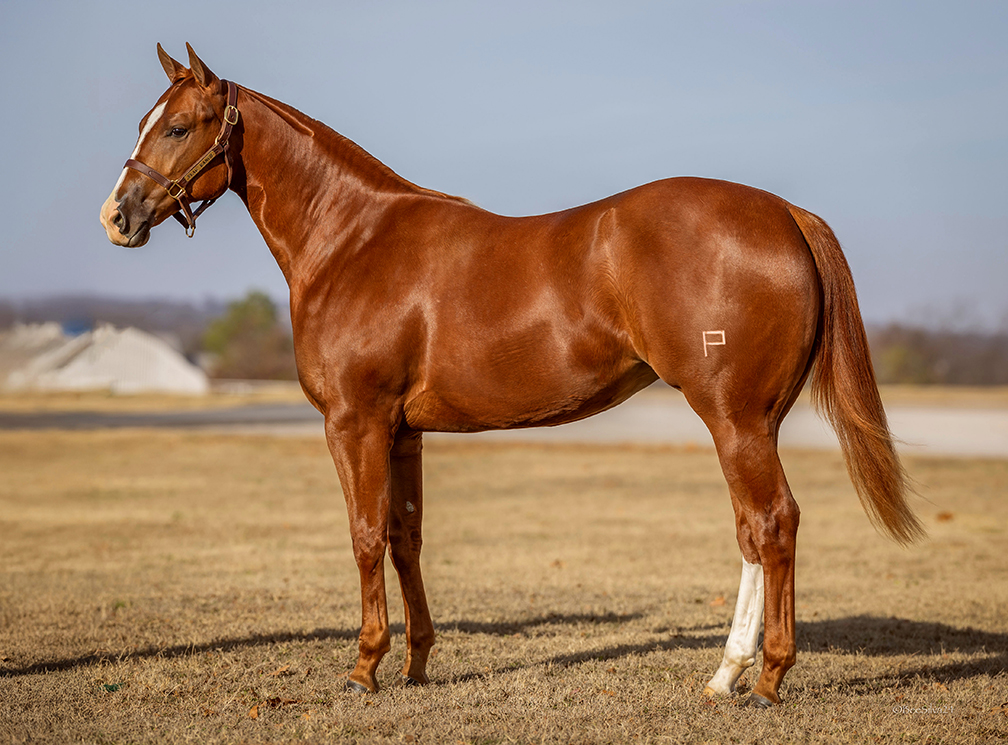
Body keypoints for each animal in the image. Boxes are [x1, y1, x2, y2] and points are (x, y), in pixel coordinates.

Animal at [100, 44, 922, 708]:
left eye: (180, 127)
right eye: (145, 120)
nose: (117, 217)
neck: (354, 240)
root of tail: (784, 213)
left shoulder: (354, 422)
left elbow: (364, 535)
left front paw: (364, 668)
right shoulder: (402, 432)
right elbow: (405, 535)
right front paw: (416, 665)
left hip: (735, 419)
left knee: (772, 524)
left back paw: (768, 677)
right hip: (752, 421)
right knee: (753, 532)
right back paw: (726, 674)